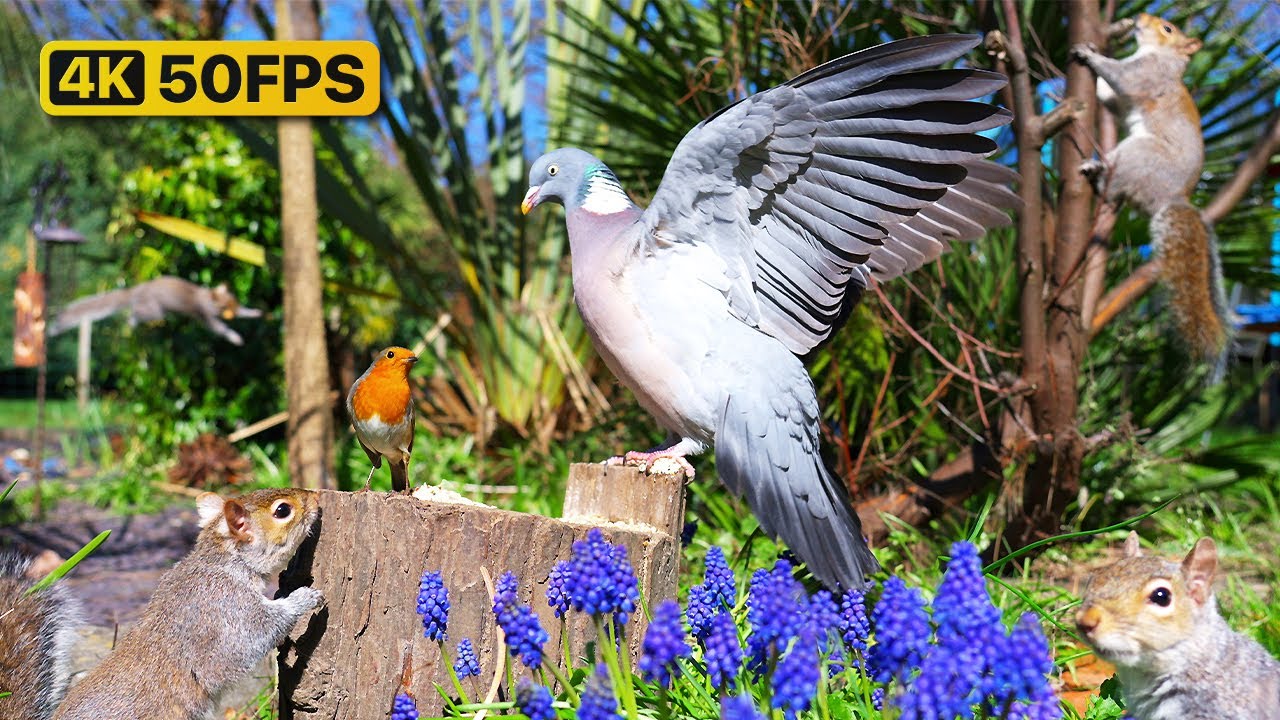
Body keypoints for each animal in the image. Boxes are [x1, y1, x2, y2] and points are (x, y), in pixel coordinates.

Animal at [48, 276, 264, 346]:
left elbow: (246, 313)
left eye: (234, 302)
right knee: (135, 312)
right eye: (224, 306)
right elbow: (219, 328)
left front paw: (255, 312)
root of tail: (137, 289)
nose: (232, 312)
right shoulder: (205, 314)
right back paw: (130, 321)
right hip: (153, 309)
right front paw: (235, 337)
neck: (206, 297)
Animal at [1071, 14, 1233, 371]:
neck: (1159, 55)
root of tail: (1170, 197)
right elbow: (1113, 99)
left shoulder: (1147, 74)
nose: (1139, 18)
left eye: (1168, 29)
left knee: (1116, 186)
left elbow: (1123, 78)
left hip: (1140, 154)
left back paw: (1100, 178)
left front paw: (1091, 56)